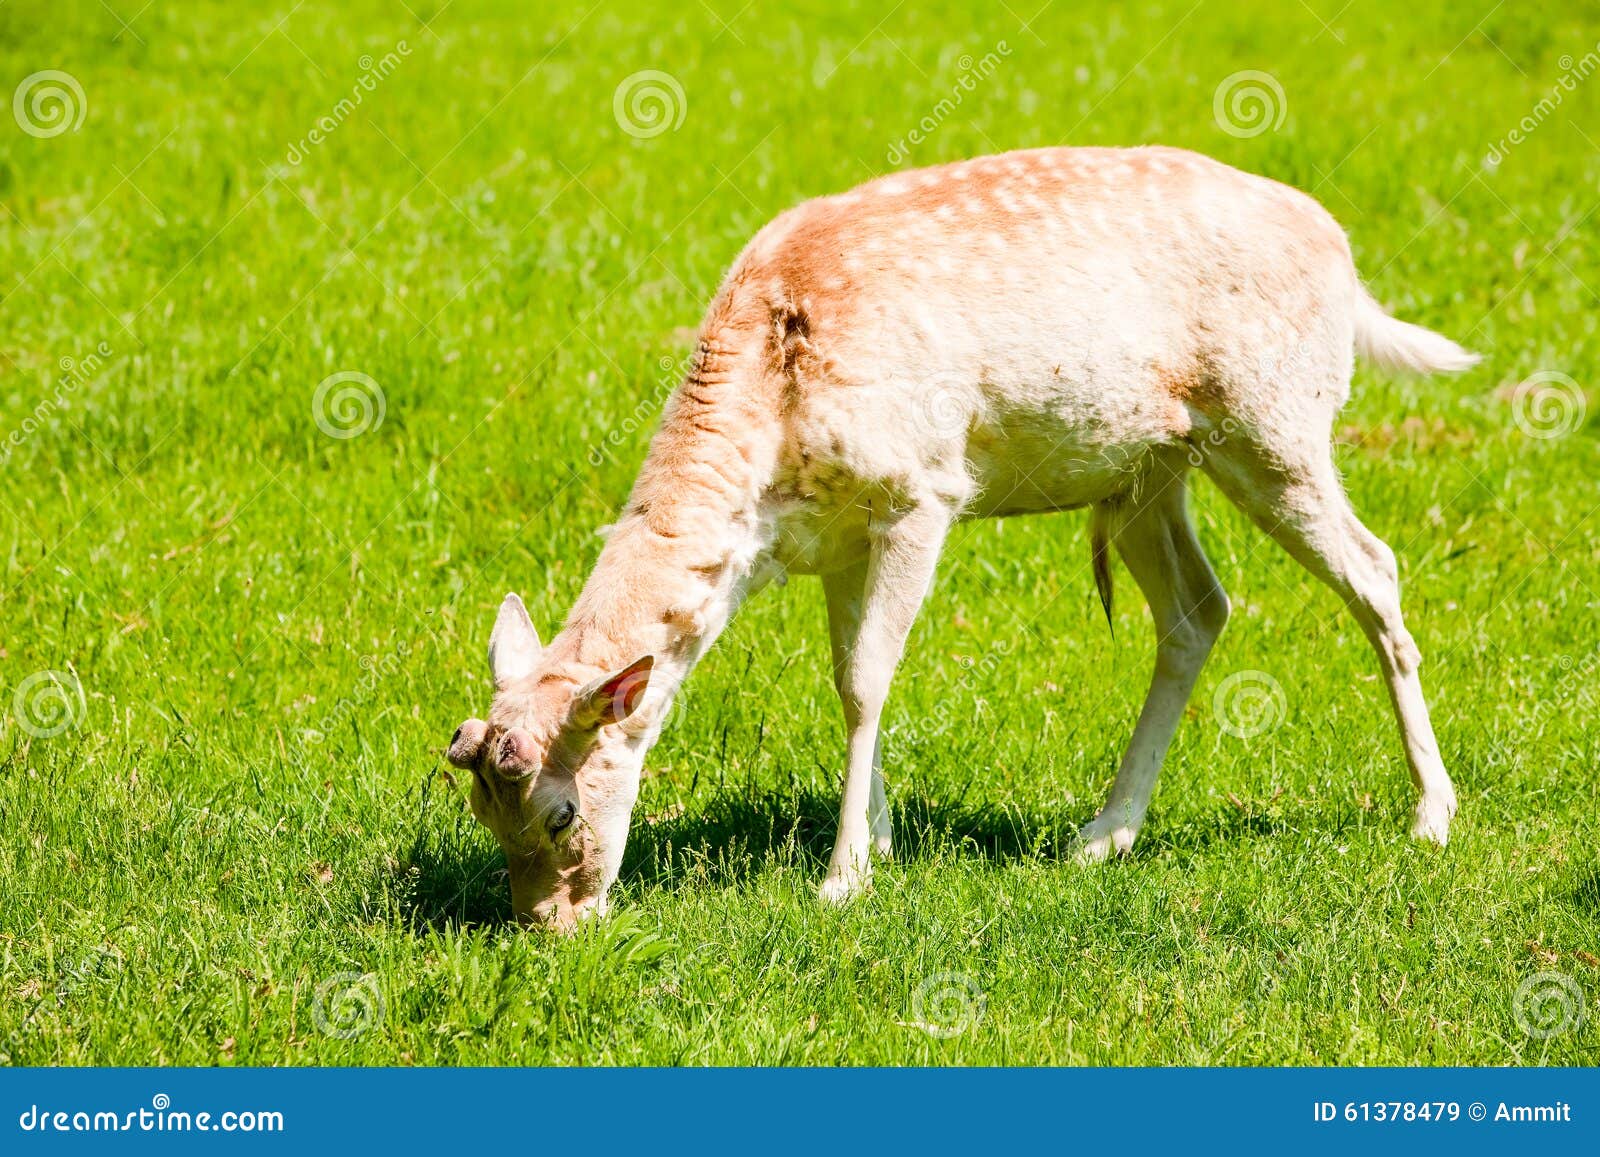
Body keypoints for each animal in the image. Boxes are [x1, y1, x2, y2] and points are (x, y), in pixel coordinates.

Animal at [446, 145, 1478, 930]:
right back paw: (1104, 832)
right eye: (479, 812)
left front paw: (843, 877)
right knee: (1198, 609)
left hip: (1275, 422)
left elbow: (867, 678)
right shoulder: (835, 538)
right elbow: (845, 674)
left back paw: (1432, 814)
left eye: (558, 812)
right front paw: (880, 838)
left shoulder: (922, 488)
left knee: (1376, 569)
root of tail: (1345, 259)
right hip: (1149, 469)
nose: (545, 923)